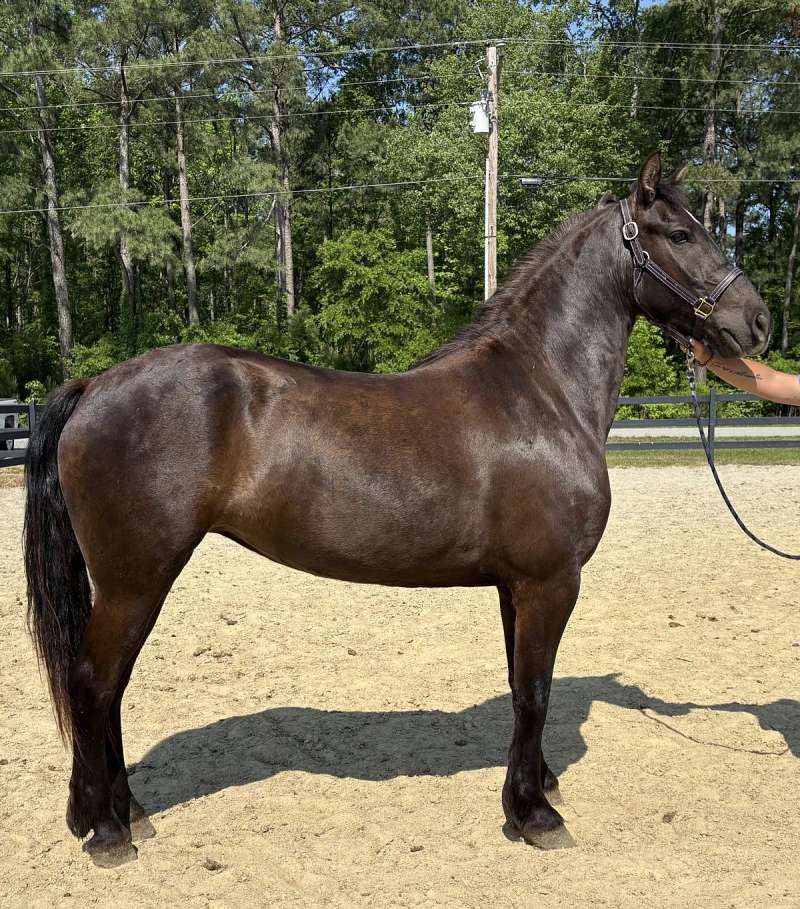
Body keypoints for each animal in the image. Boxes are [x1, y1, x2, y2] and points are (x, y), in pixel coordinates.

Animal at [23, 152, 771, 866]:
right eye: (680, 234)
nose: (758, 321)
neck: (540, 390)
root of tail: (95, 386)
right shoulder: (550, 581)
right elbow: (535, 690)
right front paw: (534, 816)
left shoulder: (515, 586)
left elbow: (522, 685)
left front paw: (536, 786)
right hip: (135, 581)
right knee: (93, 684)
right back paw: (107, 831)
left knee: (108, 688)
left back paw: (119, 812)